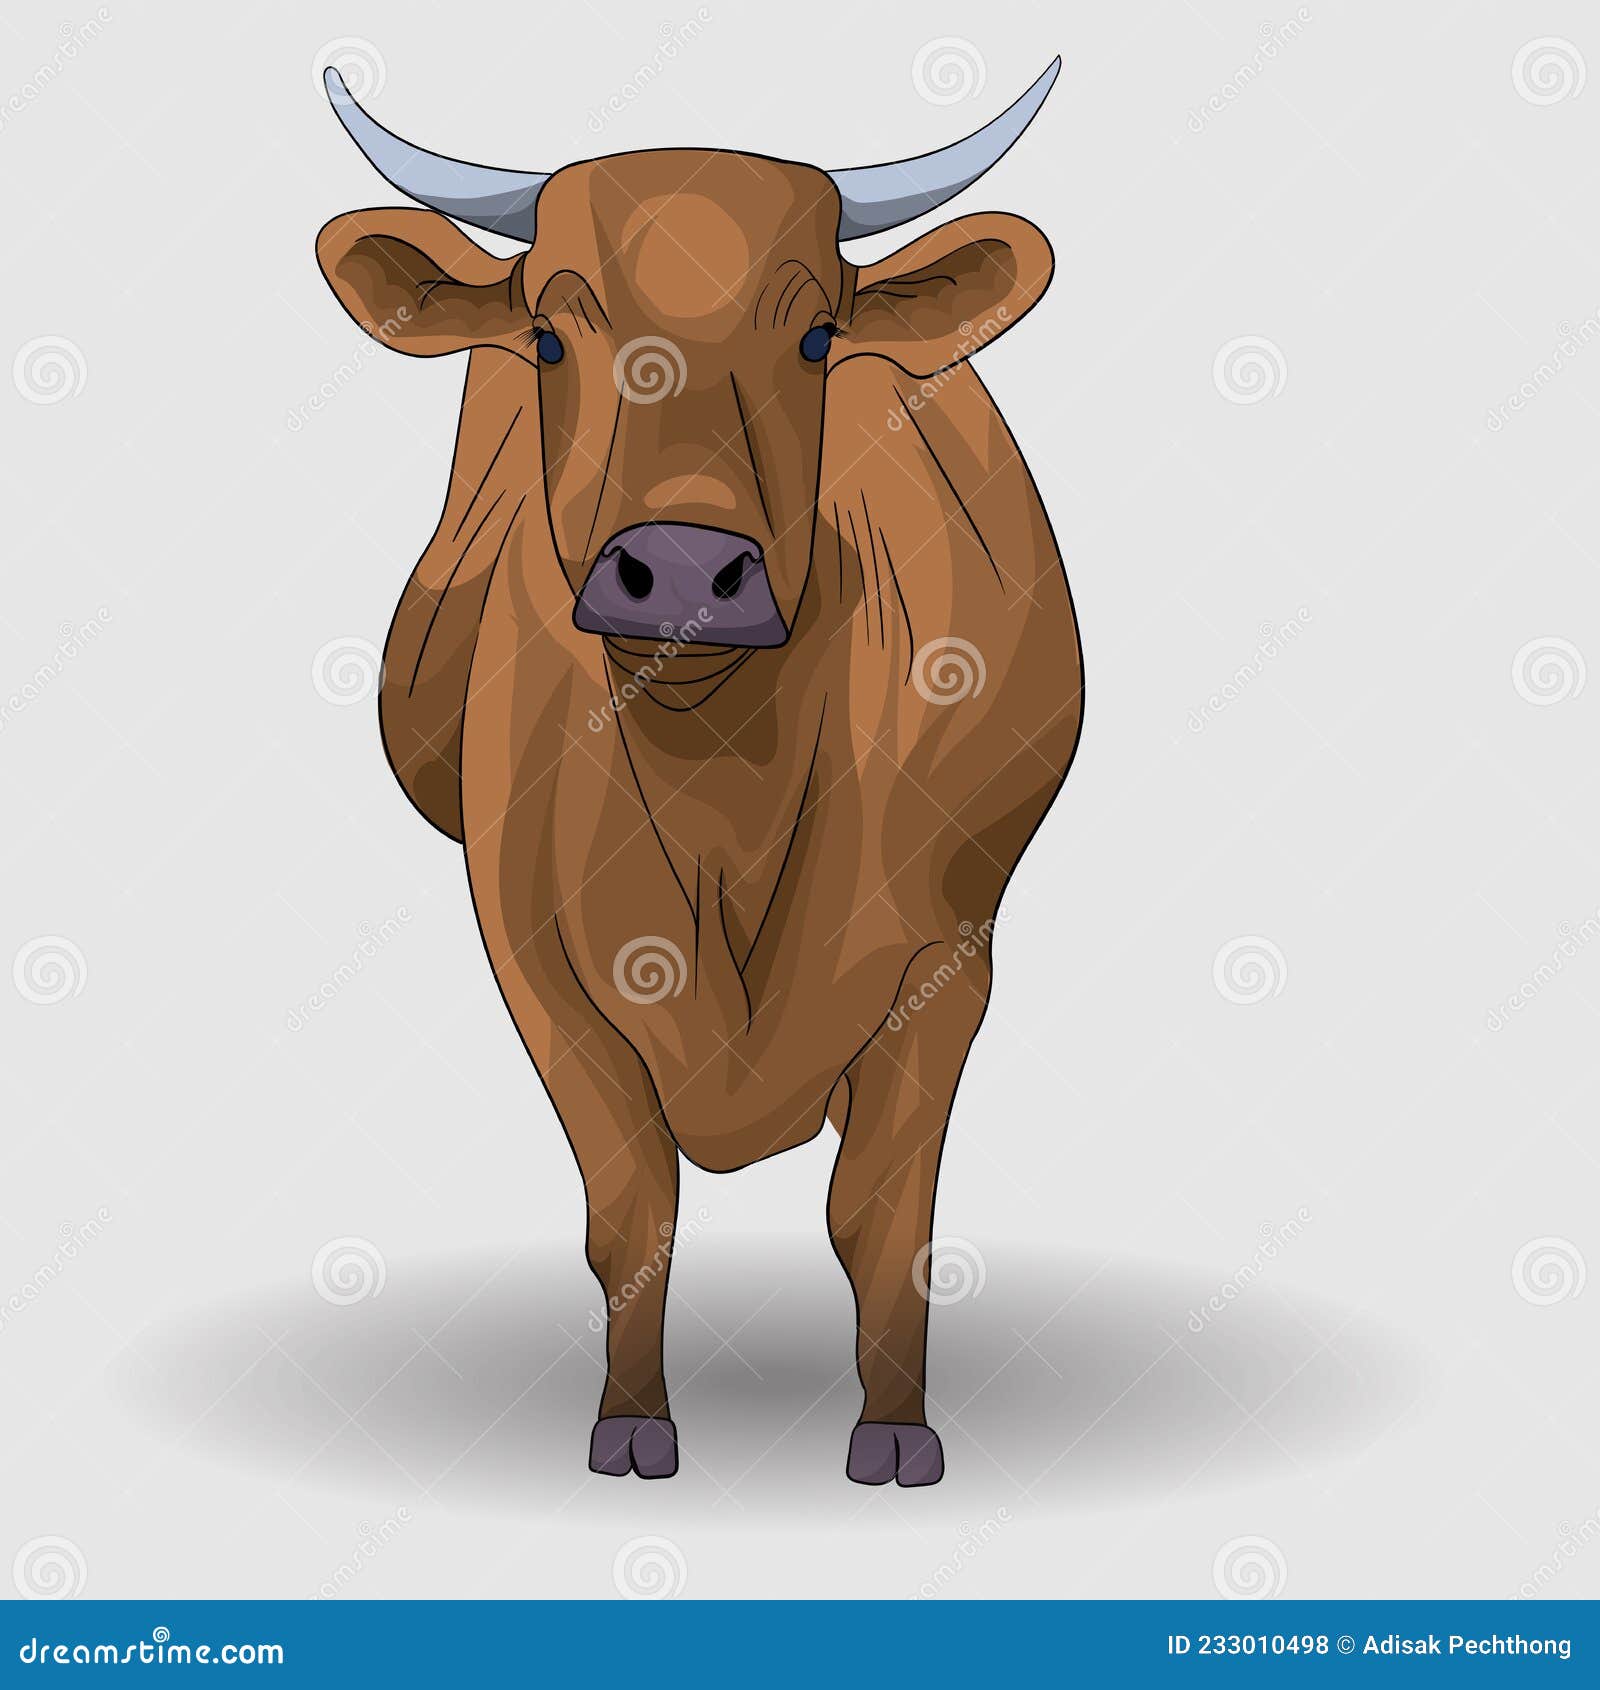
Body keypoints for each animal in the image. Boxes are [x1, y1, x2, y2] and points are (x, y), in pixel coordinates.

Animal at [314, 58, 1083, 1487]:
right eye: (551, 338)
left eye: (817, 339)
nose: (677, 569)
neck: (719, 755)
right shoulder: (536, 963)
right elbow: (631, 1210)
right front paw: (630, 1421)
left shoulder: (947, 959)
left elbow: (880, 1214)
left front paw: (894, 1428)